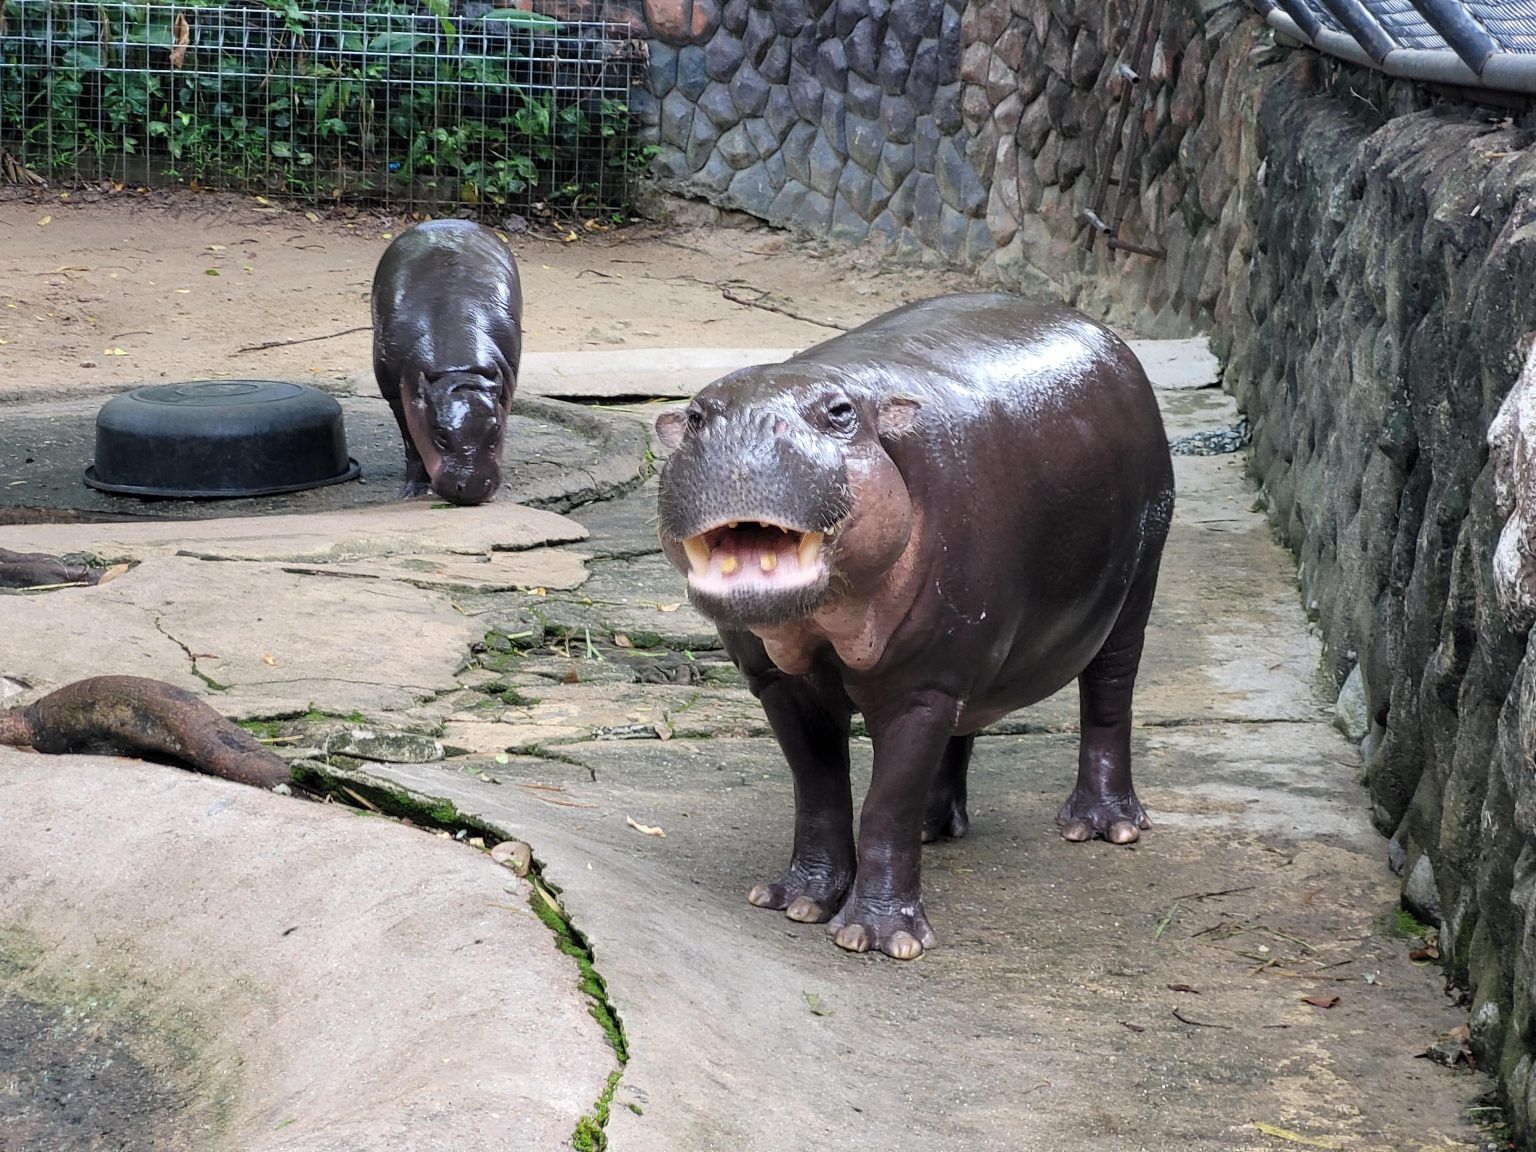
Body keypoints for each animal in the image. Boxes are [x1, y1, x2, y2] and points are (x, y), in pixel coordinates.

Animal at [371, 219, 522, 505]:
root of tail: (445, 221)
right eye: (440, 435)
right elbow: (412, 443)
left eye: (496, 430)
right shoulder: (398, 398)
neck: (459, 367)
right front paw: (413, 491)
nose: (473, 487)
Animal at [654, 293, 1175, 960]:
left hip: (1137, 581)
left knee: (1109, 695)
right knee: (964, 728)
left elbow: (886, 805)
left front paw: (878, 938)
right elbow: (818, 790)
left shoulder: (921, 689)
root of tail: (1101, 332)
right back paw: (935, 827)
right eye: (696, 415)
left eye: (840, 413)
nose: (744, 432)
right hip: (970, 651)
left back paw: (1103, 826)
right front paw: (796, 901)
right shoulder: (779, 681)